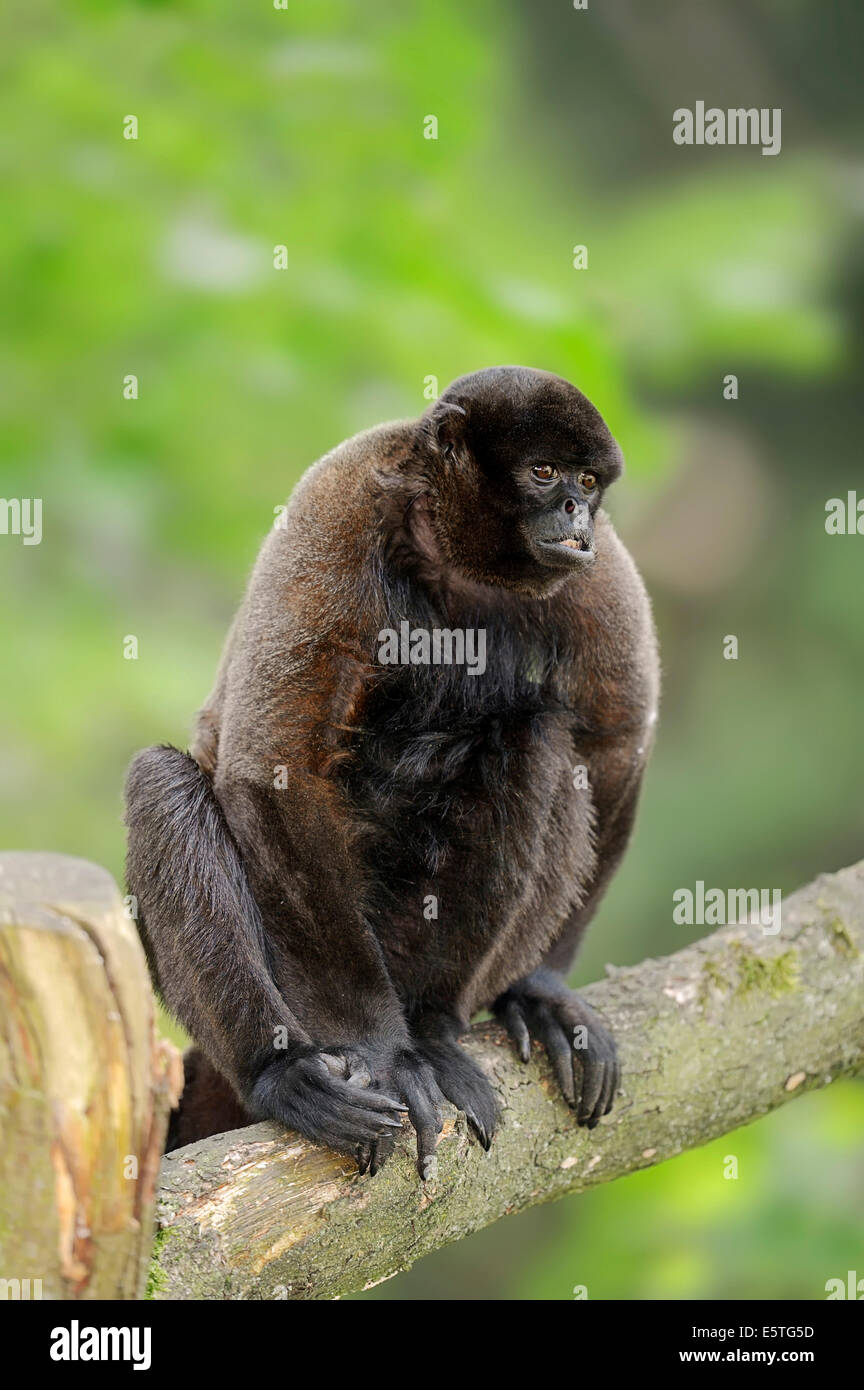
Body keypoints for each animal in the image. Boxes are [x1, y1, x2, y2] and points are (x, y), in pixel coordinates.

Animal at [125, 365, 659, 1179]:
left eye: (588, 481)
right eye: (543, 472)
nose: (576, 510)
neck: (457, 559)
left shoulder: (600, 571)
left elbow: (615, 747)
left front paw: (540, 985)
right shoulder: (340, 502)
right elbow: (275, 769)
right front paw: (376, 1054)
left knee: (537, 734)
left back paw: (439, 1027)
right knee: (161, 784)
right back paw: (285, 1072)